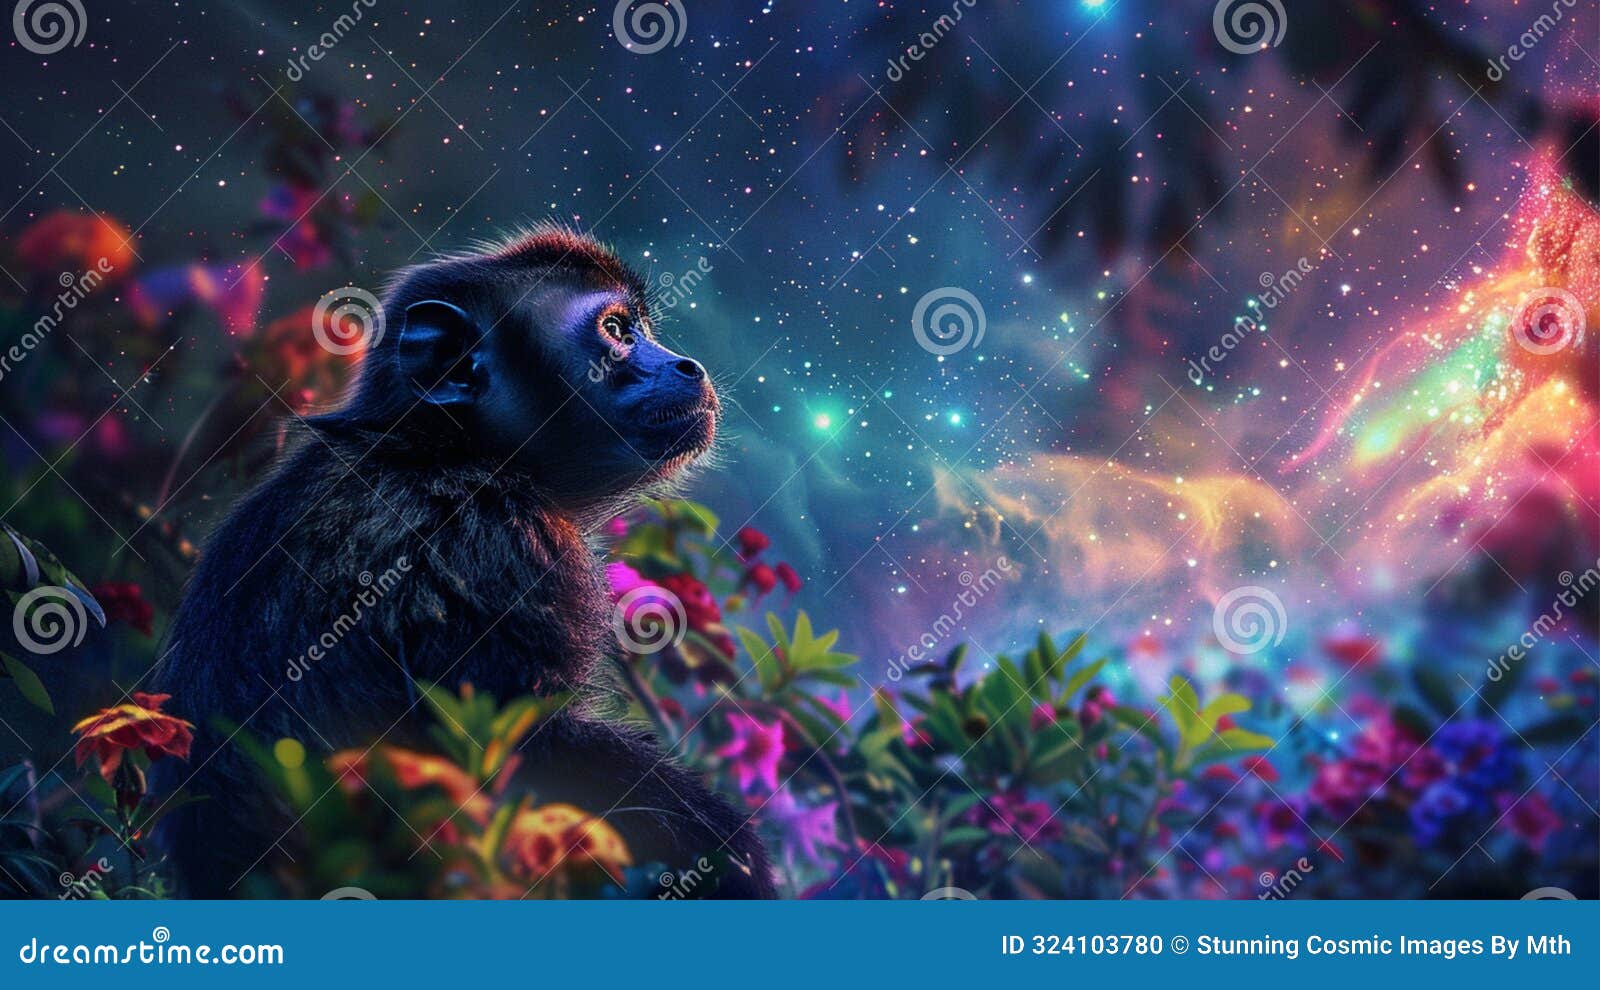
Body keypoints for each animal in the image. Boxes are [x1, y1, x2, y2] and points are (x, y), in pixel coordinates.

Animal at [147, 225, 774, 898]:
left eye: (641, 328)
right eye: (616, 329)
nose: (686, 365)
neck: (446, 448)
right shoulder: (493, 543)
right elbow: (513, 743)